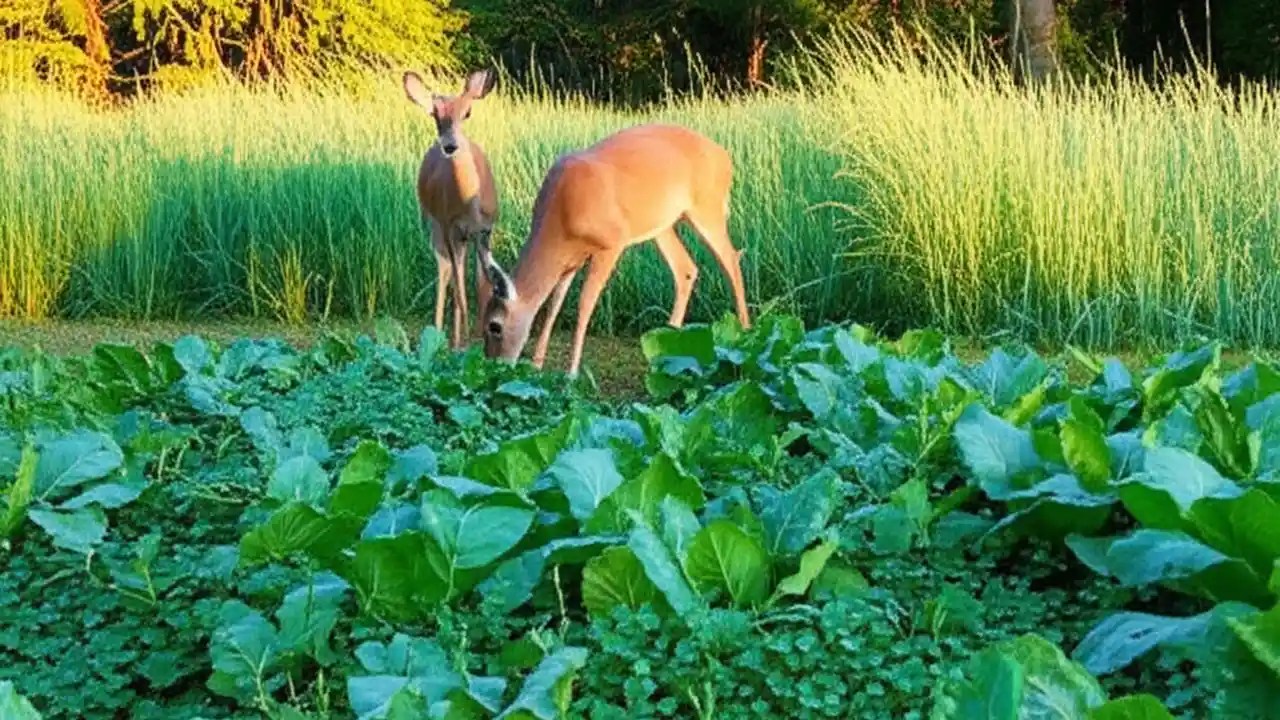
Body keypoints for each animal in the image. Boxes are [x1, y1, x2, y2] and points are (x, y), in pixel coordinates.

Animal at [403, 68, 499, 349]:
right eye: (435, 115)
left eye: (467, 112)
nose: (450, 145)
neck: (468, 202)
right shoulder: (449, 226)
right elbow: (459, 288)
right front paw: (463, 342)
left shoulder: (485, 230)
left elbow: (483, 284)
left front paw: (479, 337)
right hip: (436, 226)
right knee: (446, 271)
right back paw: (440, 334)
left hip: (462, 237)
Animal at [476, 123, 752, 378]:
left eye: (494, 326)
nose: (493, 368)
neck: (561, 216)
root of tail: (725, 157)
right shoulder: (572, 258)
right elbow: (555, 302)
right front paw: (536, 364)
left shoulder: (611, 244)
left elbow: (585, 302)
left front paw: (571, 373)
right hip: (662, 225)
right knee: (686, 268)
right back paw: (666, 346)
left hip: (707, 207)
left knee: (730, 259)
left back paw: (745, 334)